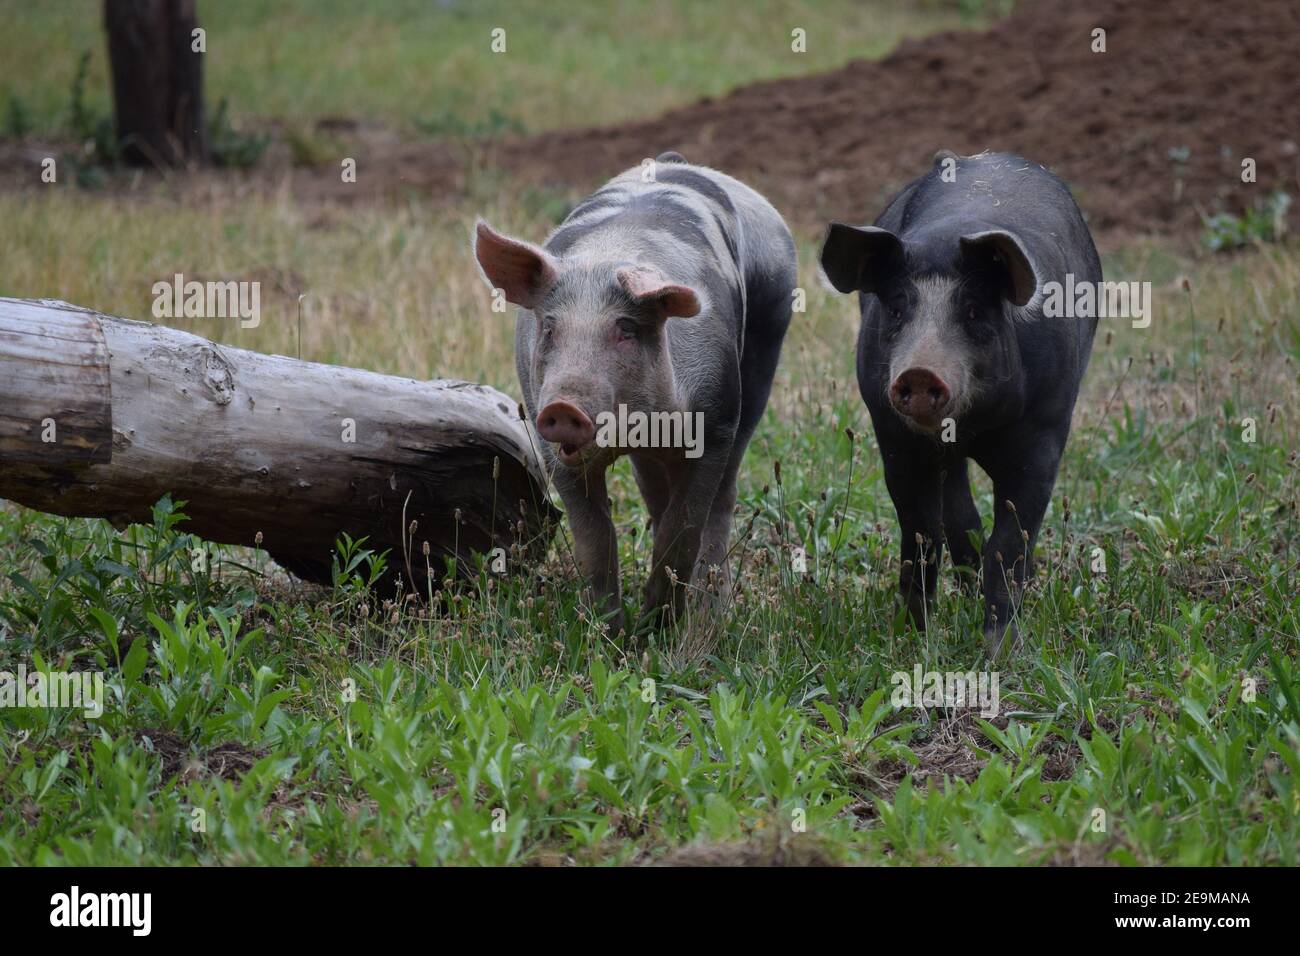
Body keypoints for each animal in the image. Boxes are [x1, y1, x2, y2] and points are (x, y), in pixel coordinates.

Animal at [474, 152, 797, 631]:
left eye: (625, 329)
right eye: (549, 326)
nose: (563, 406)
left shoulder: (715, 420)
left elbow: (683, 530)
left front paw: (658, 629)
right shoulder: (550, 443)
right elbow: (595, 540)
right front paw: (609, 630)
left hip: (764, 348)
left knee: (724, 498)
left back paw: (710, 613)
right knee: (655, 497)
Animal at [820, 150, 1101, 656]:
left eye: (972, 310)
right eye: (896, 309)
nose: (919, 372)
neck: (971, 429)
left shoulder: (1045, 432)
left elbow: (1009, 544)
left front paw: (1000, 651)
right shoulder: (893, 435)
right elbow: (920, 534)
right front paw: (913, 639)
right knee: (959, 518)